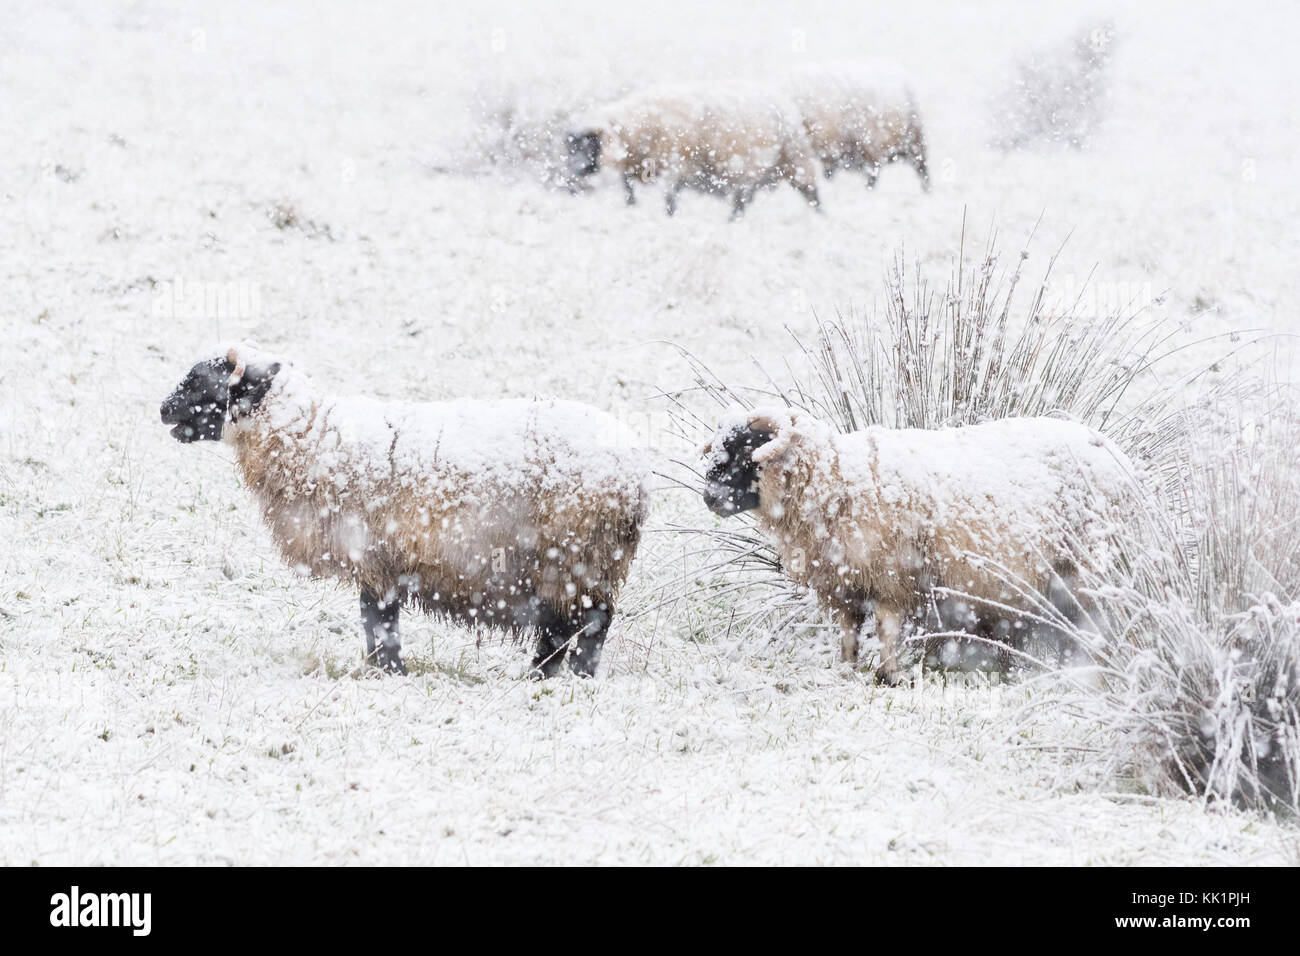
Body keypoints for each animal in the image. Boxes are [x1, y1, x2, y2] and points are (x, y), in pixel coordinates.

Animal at [159, 344, 651, 678]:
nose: (163, 409)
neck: (311, 437)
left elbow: (378, 620)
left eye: (201, 380)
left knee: (587, 623)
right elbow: (377, 620)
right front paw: (387, 670)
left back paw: (564, 680)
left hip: (577, 554)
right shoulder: (383, 561)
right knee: (565, 626)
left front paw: (388, 671)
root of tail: (638, 474)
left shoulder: (375, 555)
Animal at [565, 84, 821, 217]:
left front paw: (669, 217)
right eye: (570, 148)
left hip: (794, 160)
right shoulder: (636, 164)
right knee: (743, 198)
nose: (574, 171)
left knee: (811, 194)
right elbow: (627, 186)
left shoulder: (677, 163)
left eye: (590, 144)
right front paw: (631, 206)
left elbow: (670, 196)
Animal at [700, 407, 1139, 683]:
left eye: (745, 449)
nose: (708, 497)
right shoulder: (844, 583)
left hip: (1088, 570)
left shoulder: (892, 576)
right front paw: (845, 669)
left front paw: (889, 676)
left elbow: (887, 628)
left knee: (1090, 627)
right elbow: (848, 633)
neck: (837, 480)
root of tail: (1122, 461)